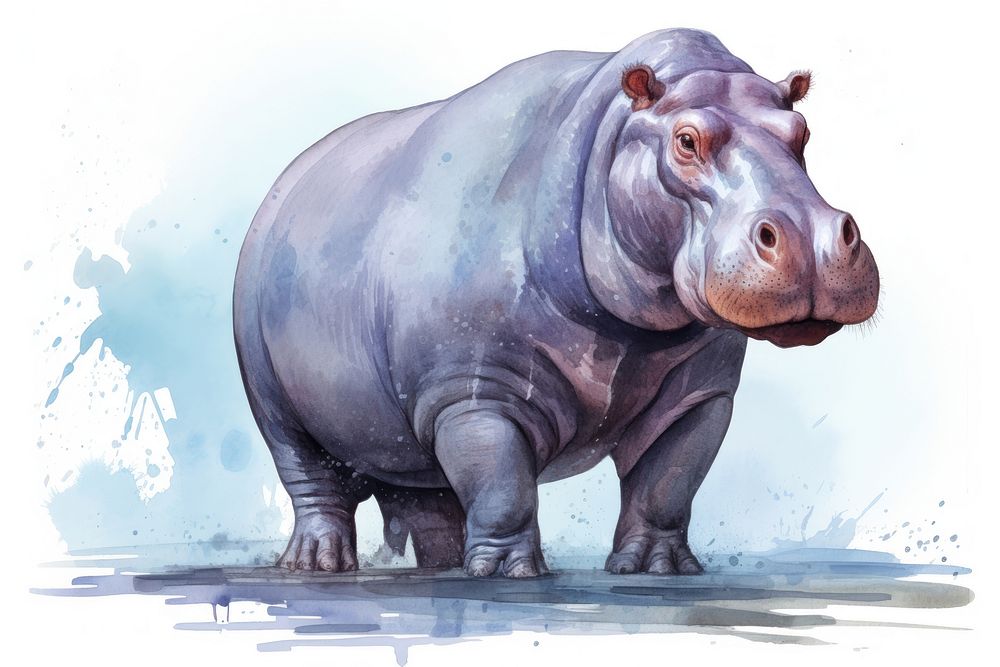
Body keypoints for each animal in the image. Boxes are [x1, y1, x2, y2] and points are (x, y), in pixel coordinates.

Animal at [233, 28, 879, 578]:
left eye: (802, 134)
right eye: (686, 140)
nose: (813, 243)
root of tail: (282, 184)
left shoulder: (700, 394)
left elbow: (667, 482)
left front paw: (657, 570)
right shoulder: (473, 392)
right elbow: (503, 487)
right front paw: (511, 575)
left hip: (403, 424)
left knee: (424, 488)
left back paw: (441, 566)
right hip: (268, 387)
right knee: (309, 474)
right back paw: (317, 565)